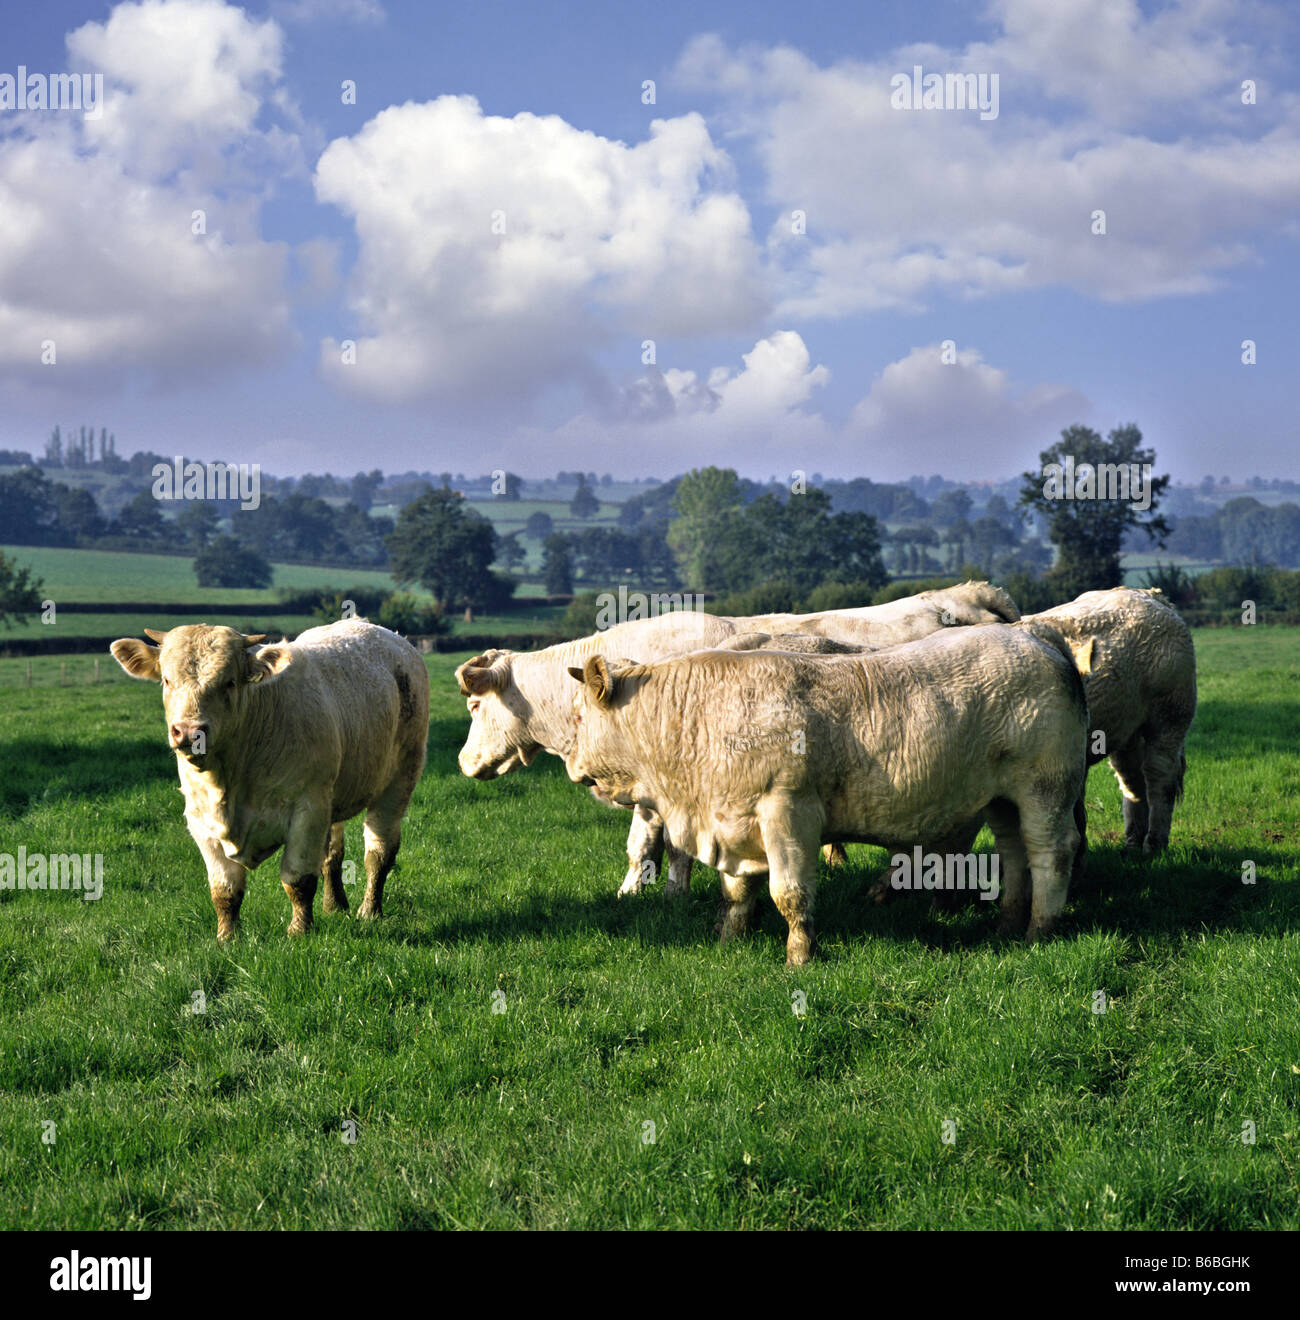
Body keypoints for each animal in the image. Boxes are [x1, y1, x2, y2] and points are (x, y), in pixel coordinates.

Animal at [109, 619, 429, 940]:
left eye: (230, 682)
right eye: (166, 680)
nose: (189, 731)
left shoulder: (308, 811)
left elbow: (298, 879)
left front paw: (299, 930)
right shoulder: (200, 819)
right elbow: (224, 888)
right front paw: (227, 937)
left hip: (400, 778)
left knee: (379, 852)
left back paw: (369, 911)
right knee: (332, 855)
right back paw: (334, 906)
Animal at [456, 581, 1020, 897]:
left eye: (474, 705)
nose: (462, 762)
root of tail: (970, 593)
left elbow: (659, 846)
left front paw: (664, 894)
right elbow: (647, 846)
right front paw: (639, 893)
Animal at [562, 624, 1089, 965]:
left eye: (580, 716)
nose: (571, 766)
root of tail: (1036, 636)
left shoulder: (787, 811)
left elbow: (790, 894)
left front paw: (800, 956)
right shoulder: (732, 820)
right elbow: (736, 894)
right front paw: (729, 941)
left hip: (1046, 788)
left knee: (1051, 852)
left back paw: (1038, 931)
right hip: (1002, 799)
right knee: (1015, 853)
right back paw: (1007, 924)